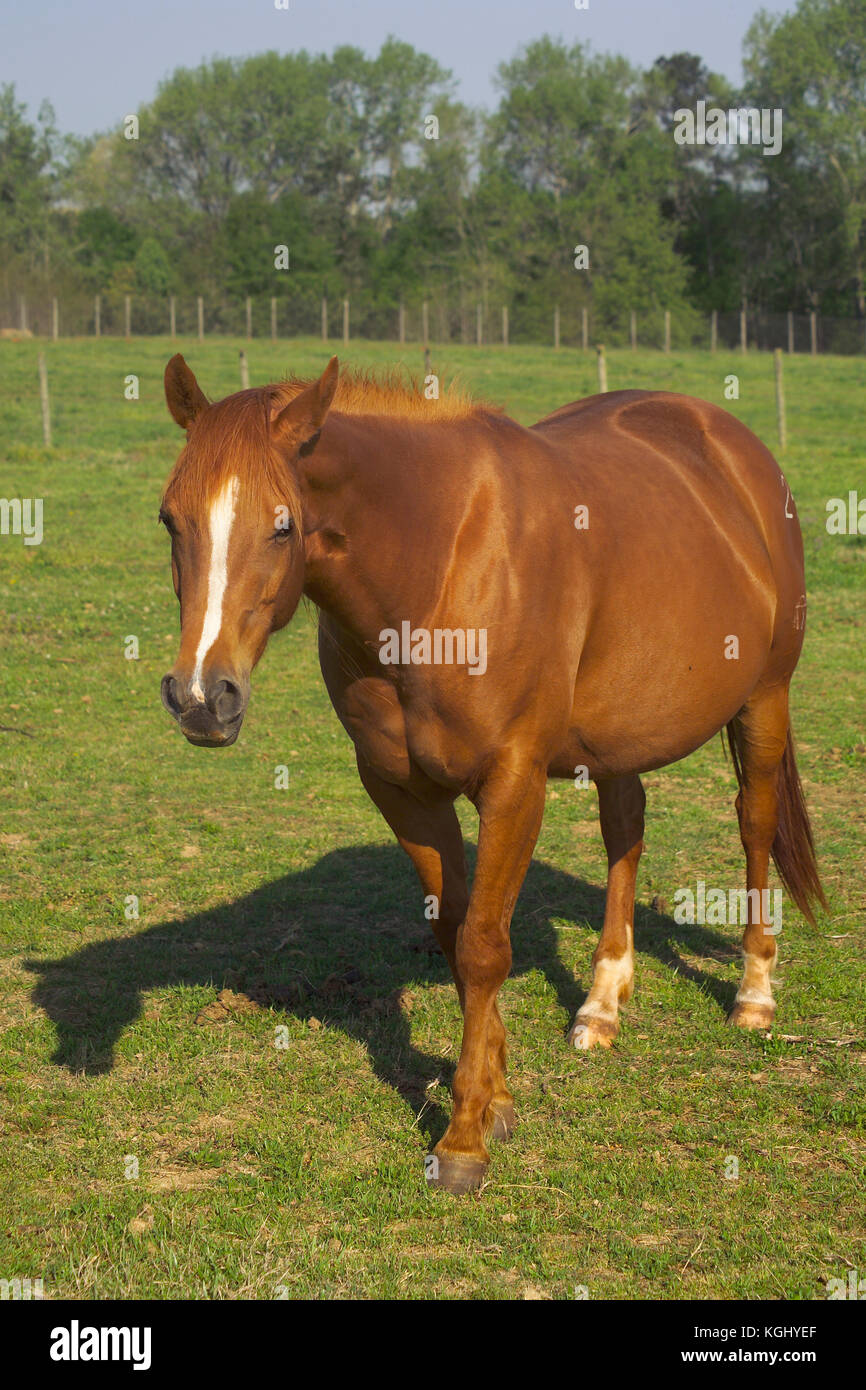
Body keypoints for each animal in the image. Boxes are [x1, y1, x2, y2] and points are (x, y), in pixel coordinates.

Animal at [159, 353, 825, 1194]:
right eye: (170, 520)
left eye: (283, 524)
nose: (201, 697)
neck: (439, 562)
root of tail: (736, 450)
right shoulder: (400, 790)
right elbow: (454, 932)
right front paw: (495, 1098)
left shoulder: (514, 783)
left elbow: (483, 947)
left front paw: (464, 1140)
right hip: (620, 737)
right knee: (626, 827)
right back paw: (602, 1004)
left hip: (765, 698)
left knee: (754, 820)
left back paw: (754, 995)